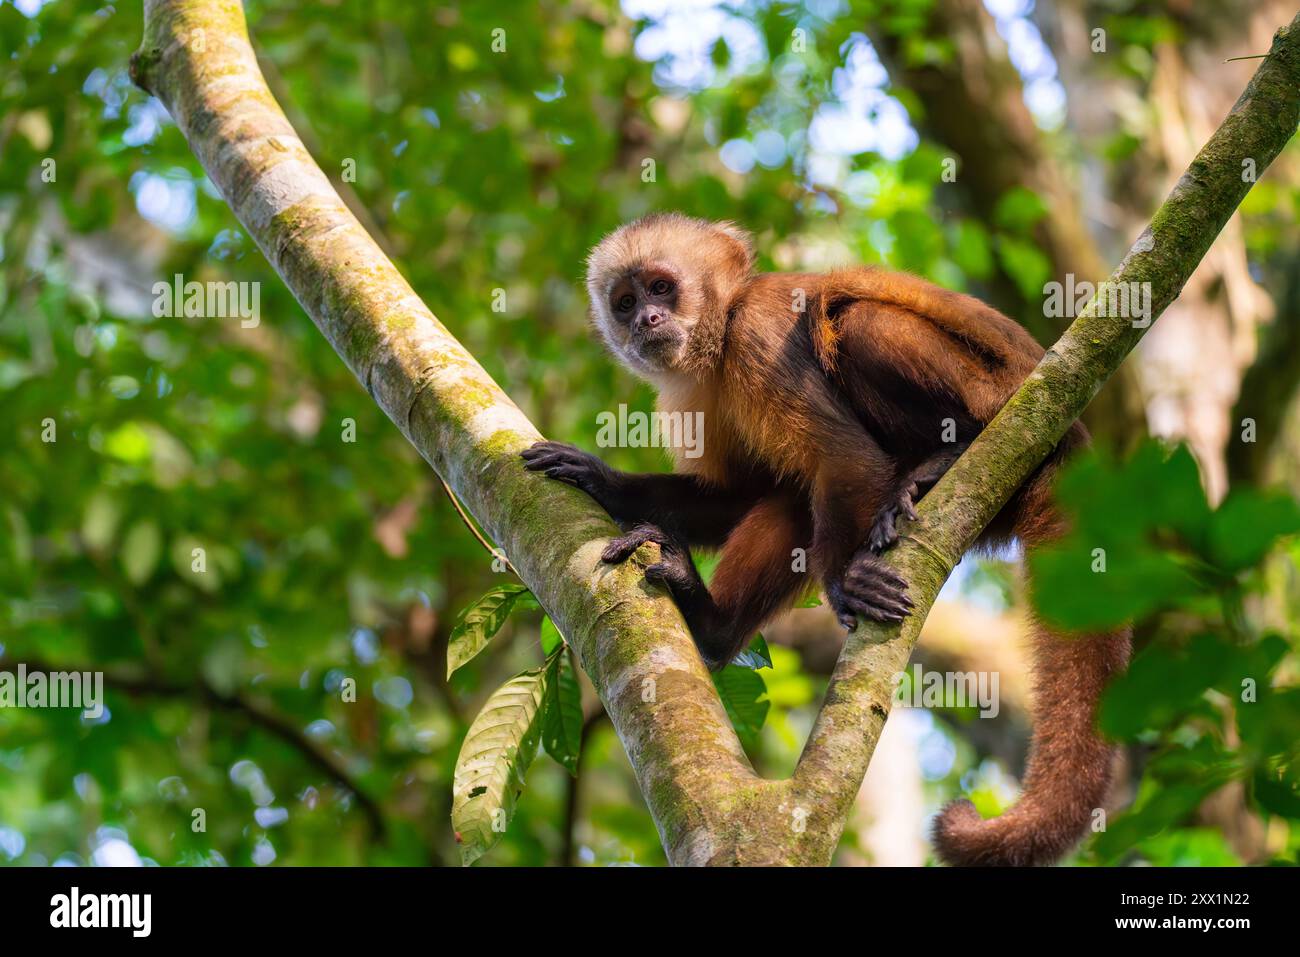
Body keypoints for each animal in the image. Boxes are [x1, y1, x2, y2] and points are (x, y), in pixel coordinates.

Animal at [521, 213, 1130, 867]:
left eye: (661, 288)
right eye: (626, 302)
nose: (646, 321)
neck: (720, 336)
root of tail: (1072, 446)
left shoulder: (759, 336)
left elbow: (843, 457)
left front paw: (843, 586)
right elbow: (744, 495)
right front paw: (600, 479)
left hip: (998, 400)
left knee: (850, 320)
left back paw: (950, 452)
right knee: (791, 499)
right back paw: (713, 626)